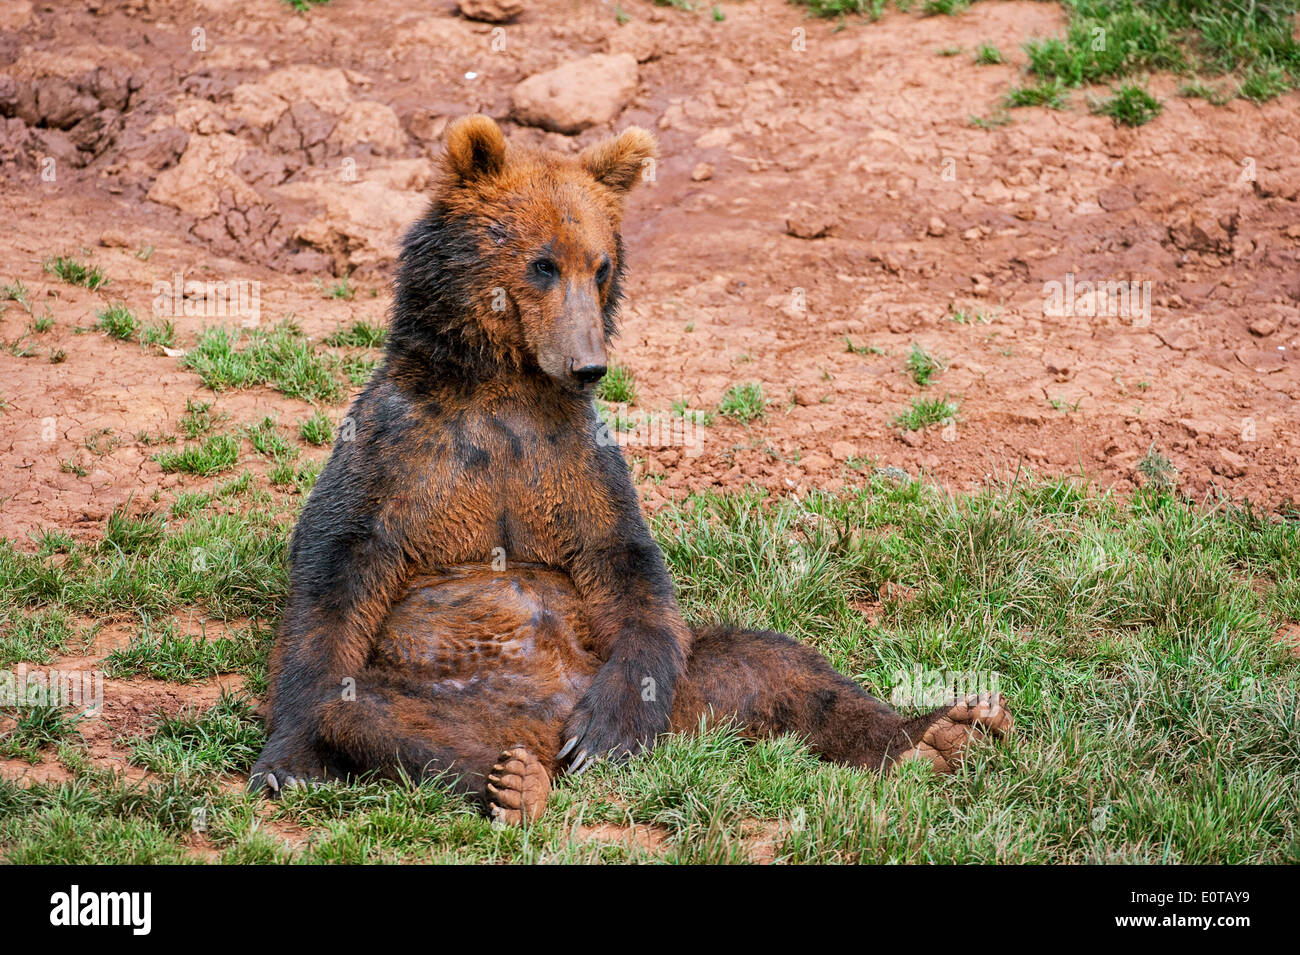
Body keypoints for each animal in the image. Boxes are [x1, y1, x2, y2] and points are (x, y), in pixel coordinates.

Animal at [248, 115, 1013, 823]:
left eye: (601, 264)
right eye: (542, 263)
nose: (589, 362)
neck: (501, 387)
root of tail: (542, 719)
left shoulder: (574, 457)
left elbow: (626, 564)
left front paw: (606, 732)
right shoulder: (401, 445)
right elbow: (334, 579)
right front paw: (287, 763)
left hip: (681, 688)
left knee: (777, 665)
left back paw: (942, 732)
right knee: (363, 712)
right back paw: (516, 783)